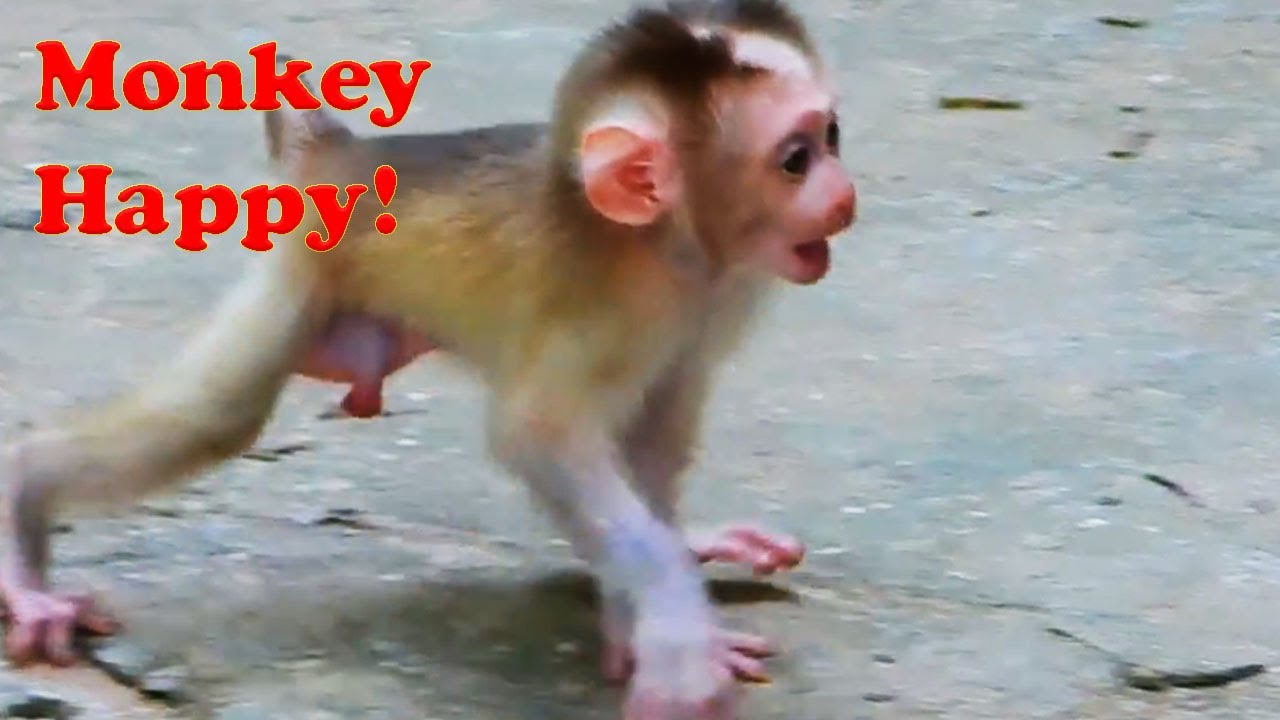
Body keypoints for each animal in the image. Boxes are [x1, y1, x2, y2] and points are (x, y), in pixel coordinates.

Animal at [0, 2, 857, 718]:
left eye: (832, 136)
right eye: (794, 160)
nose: (845, 196)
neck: (669, 245)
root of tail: (337, 154)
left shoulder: (713, 300)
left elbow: (658, 424)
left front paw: (648, 600)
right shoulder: (609, 305)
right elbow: (537, 436)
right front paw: (672, 628)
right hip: (302, 260)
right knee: (214, 416)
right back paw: (22, 510)